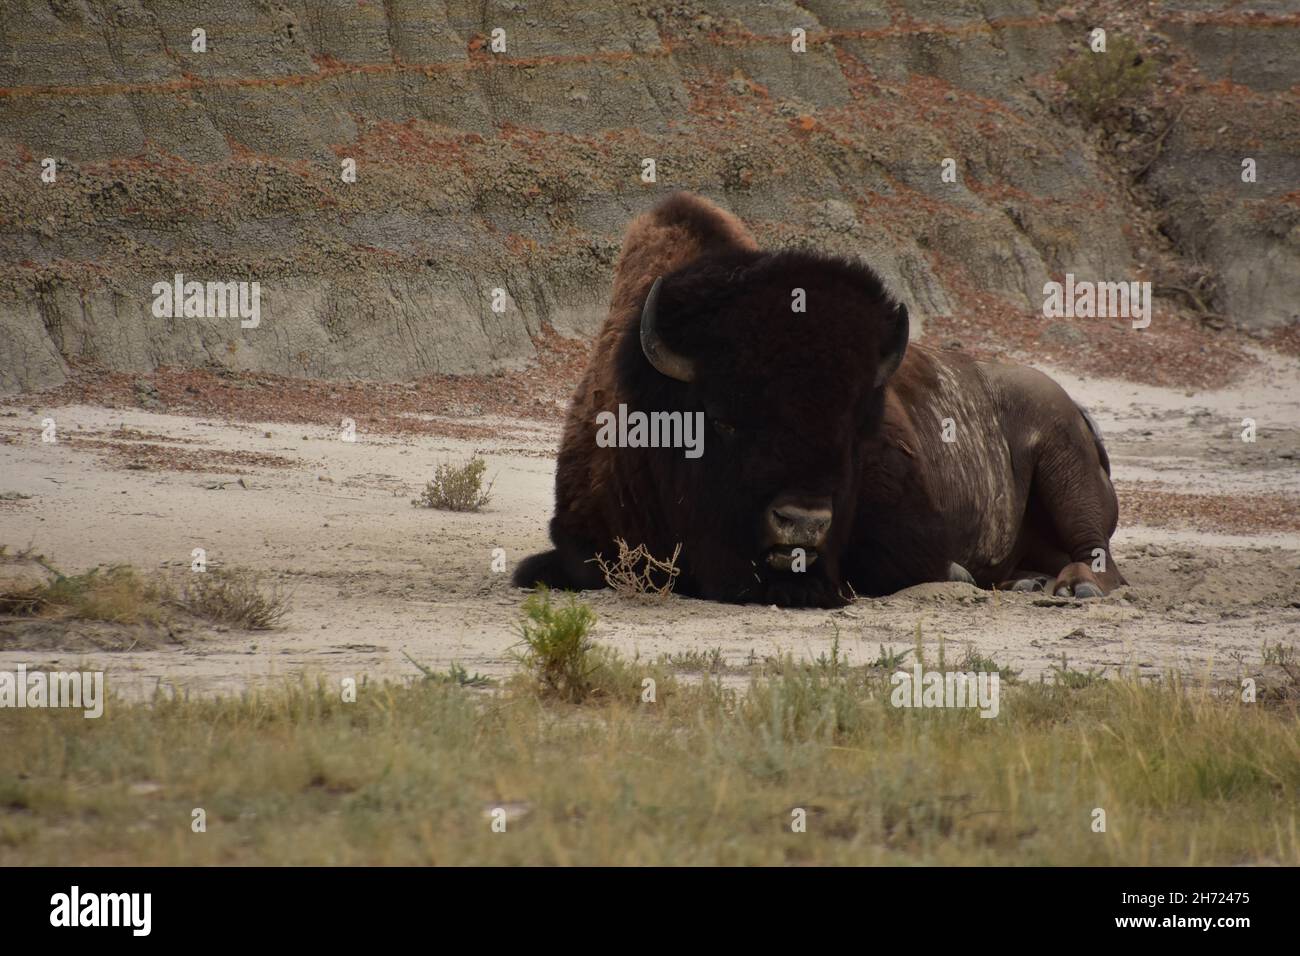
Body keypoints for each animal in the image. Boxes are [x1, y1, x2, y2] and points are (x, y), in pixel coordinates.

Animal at [515, 192, 1125, 608]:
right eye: (723, 420)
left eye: (854, 429)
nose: (802, 522)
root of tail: (1077, 409)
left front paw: (957, 575)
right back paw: (1029, 580)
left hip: (1067, 468)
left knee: (1098, 554)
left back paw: (1075, 588)